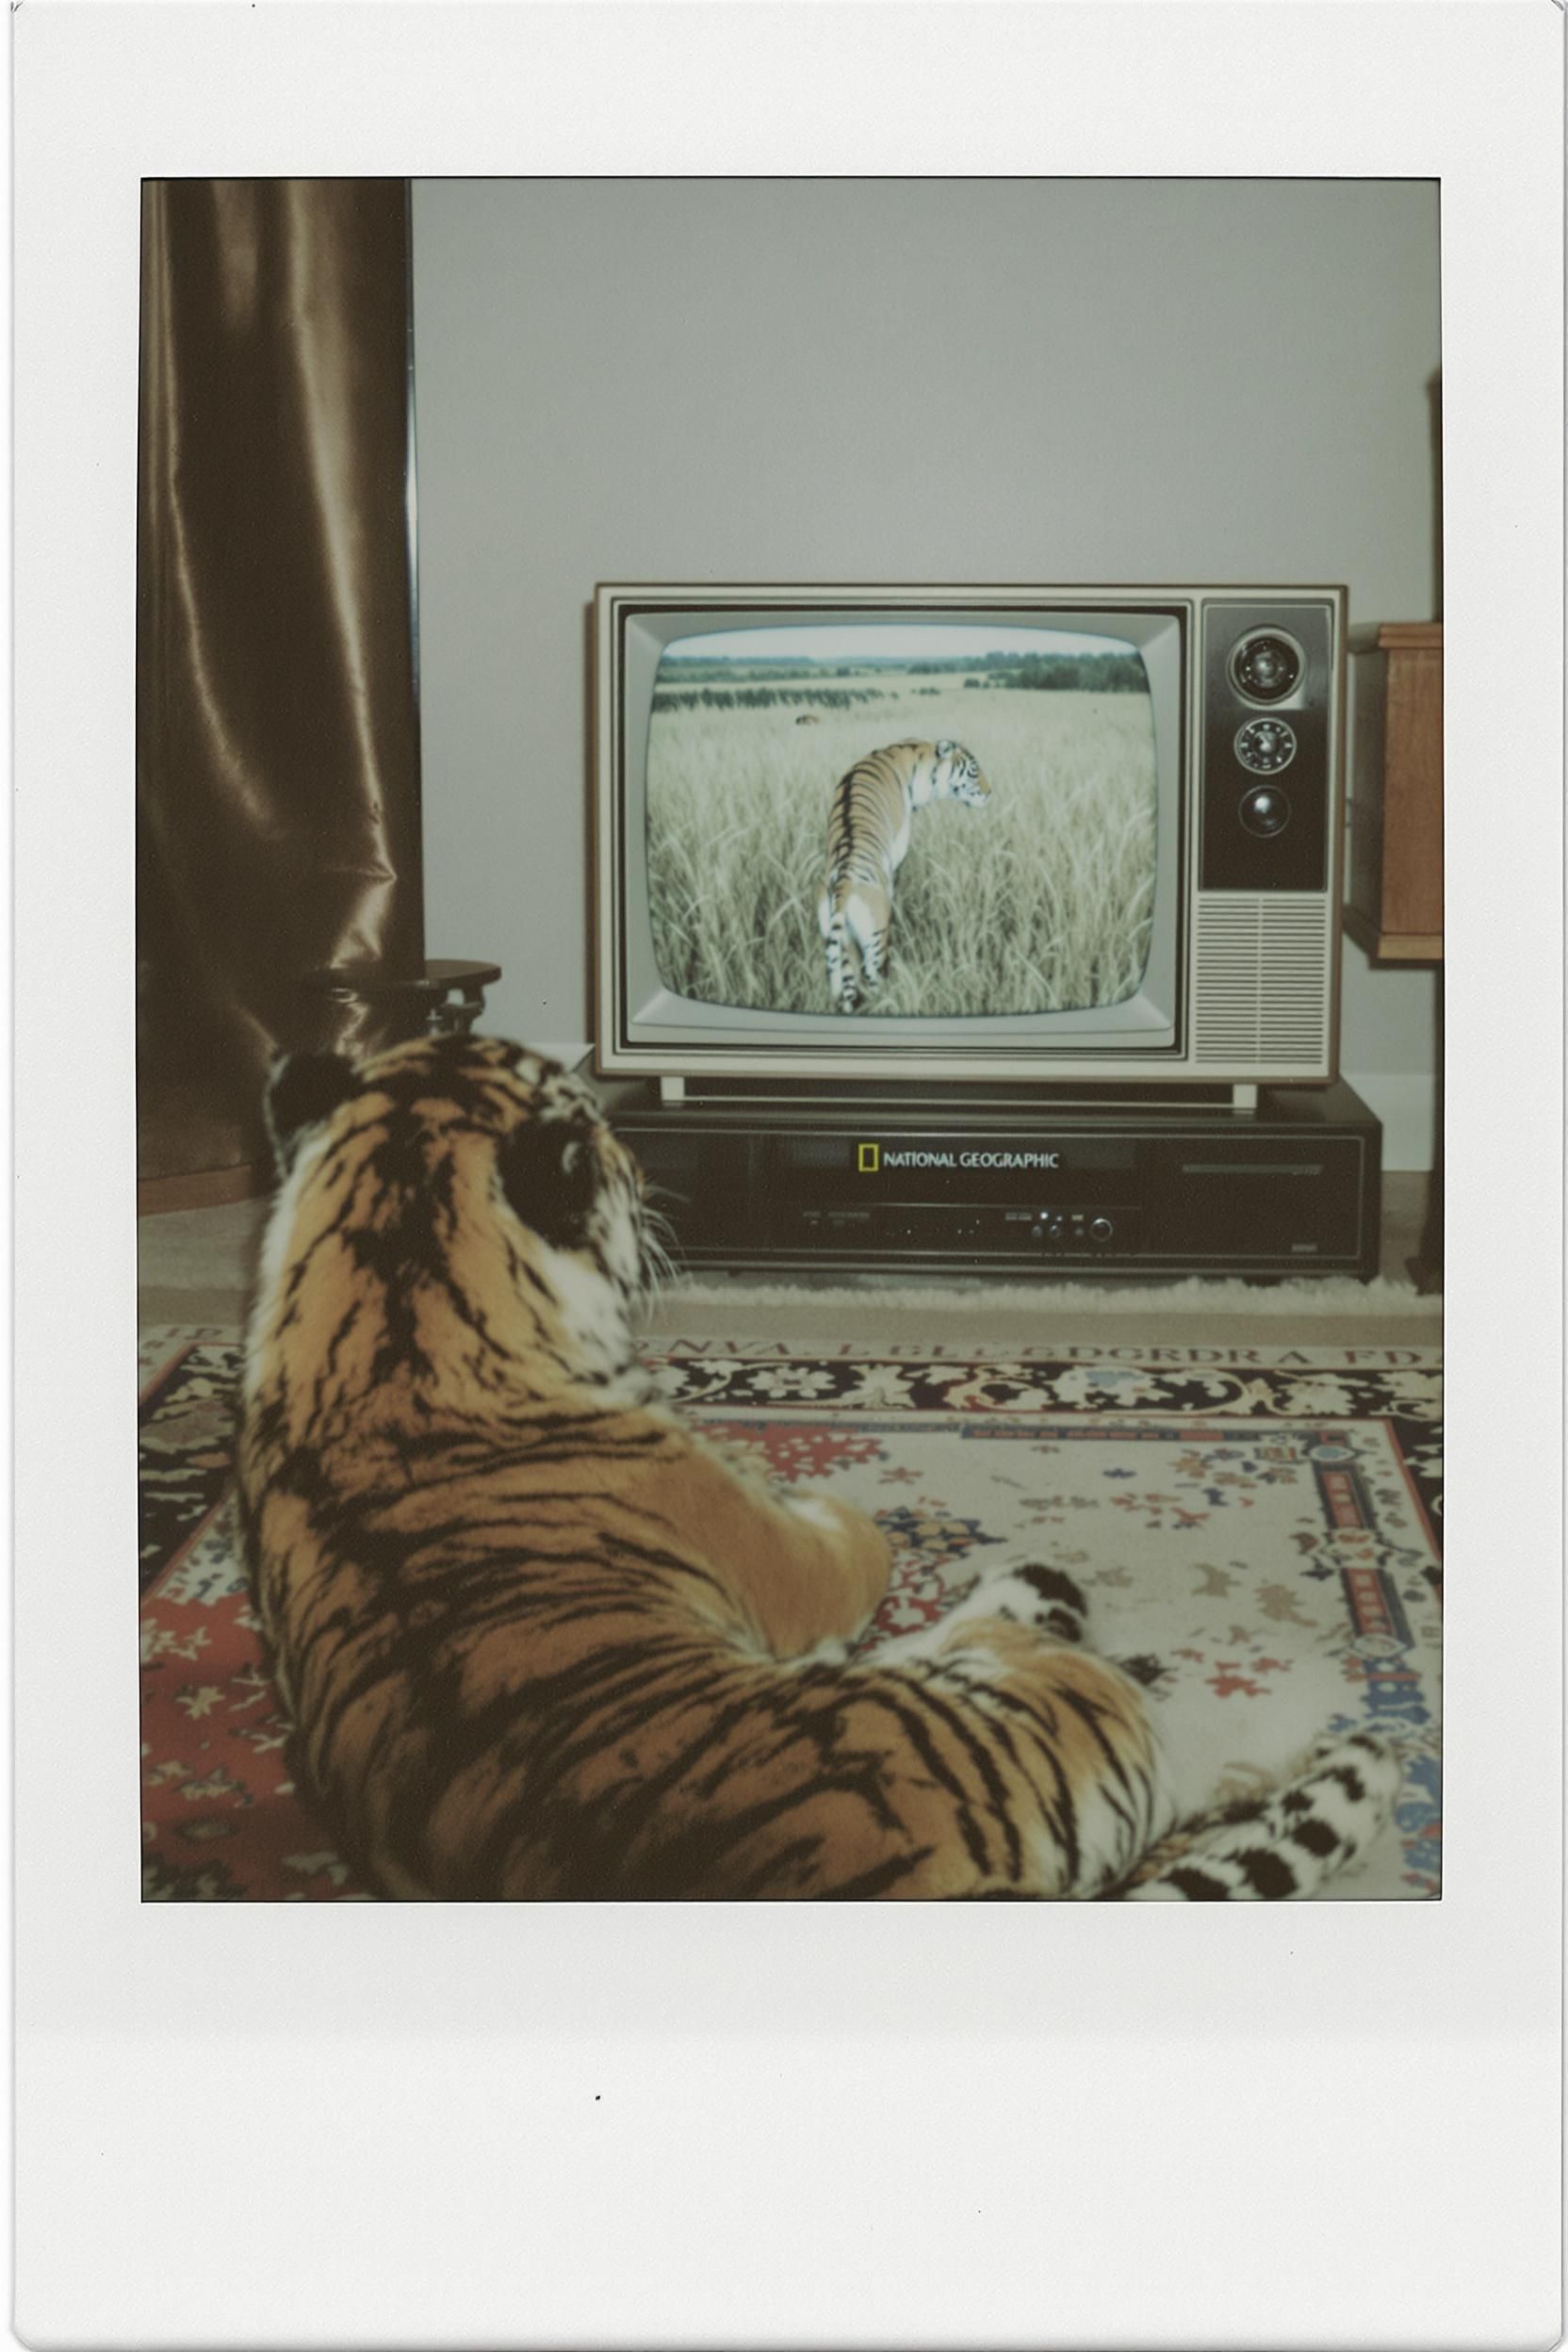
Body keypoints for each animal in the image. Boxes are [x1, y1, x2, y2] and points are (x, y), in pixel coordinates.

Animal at [237, 1031, 1400, 1902]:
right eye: (603, 1135)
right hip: (1063, 1706)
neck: (386, 1330)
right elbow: (856, 1535)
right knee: (1168, 1714)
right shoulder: (791, 1568)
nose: (642, 1165)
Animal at [817, 739, 990, 1012]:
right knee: (871, 974)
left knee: (846, 984)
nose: (990, 792)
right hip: (875, 935)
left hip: (836, 939)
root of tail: (843, 883)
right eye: (973, 771)